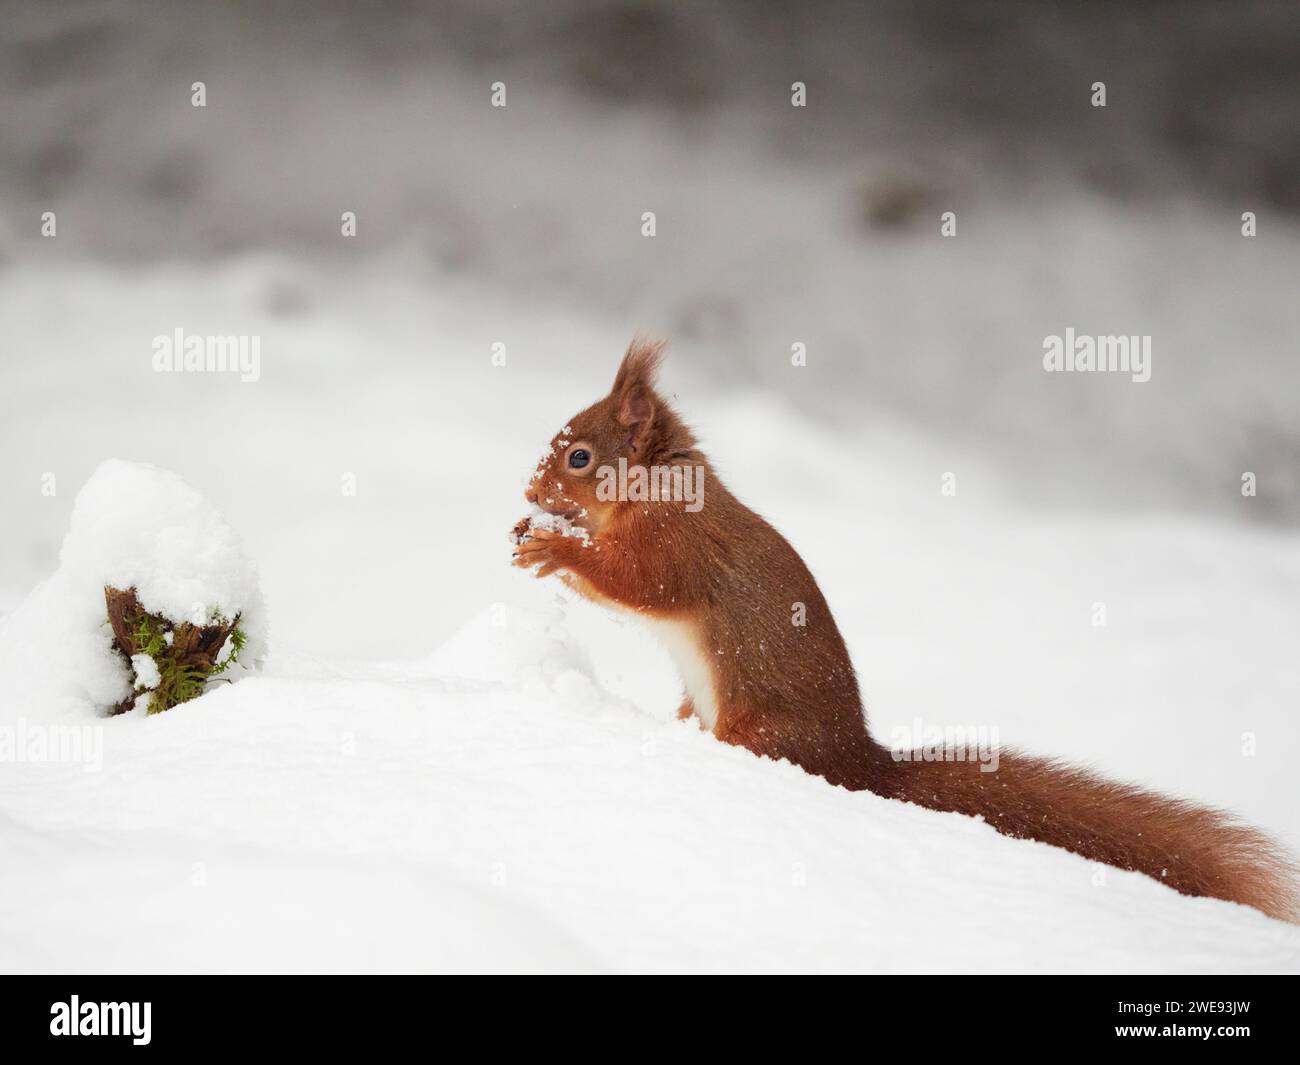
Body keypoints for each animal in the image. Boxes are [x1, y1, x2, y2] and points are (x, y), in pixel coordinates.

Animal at [513, 337, 1298, 922]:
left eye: (580, 456)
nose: (529, 492)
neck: (657, 489)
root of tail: (861, 764)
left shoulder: (677, 546)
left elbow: (638, 584)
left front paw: (553, 549)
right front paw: (530, 534)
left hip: (760, 730)